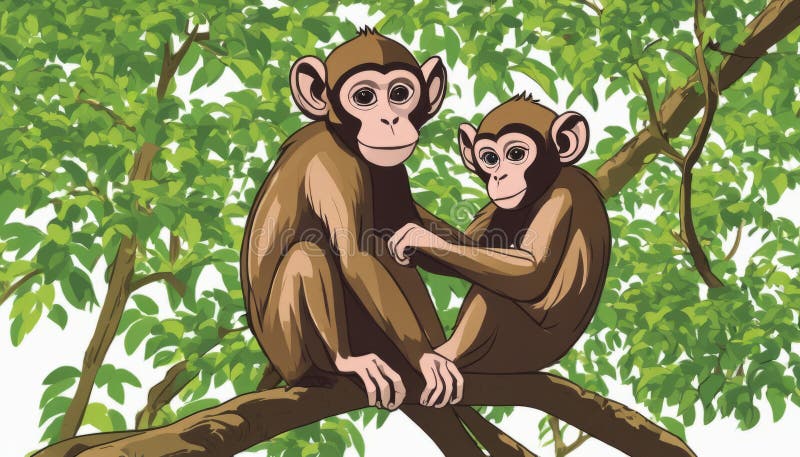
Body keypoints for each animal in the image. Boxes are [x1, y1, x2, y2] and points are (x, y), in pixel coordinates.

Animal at [241, 29, 532, 457]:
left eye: (399, 93)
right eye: (364, 97)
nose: (390, 118)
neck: (339, 134)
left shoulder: (390, 168)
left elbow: (405, 230)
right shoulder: (332, 165)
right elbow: (355, 256)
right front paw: (422, 361)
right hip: (288, 348)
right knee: (308, 254)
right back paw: (343, 364)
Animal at [387, 95, 611, 404]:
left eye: (516, 153)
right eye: (490, 158)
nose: (500, 176)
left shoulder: (562, 194)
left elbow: (531, 272)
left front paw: (420, 237)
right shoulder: (504, 206)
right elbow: (473, 245)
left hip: (517, 348)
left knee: (492, 296)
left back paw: (444, 358)